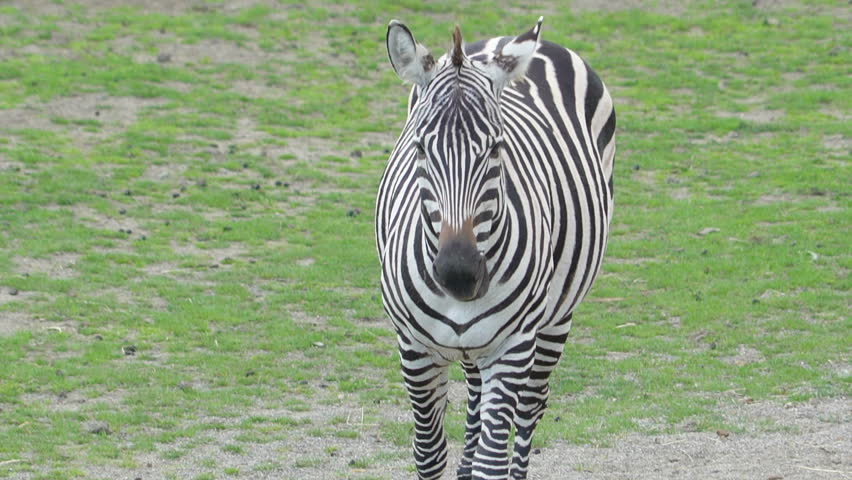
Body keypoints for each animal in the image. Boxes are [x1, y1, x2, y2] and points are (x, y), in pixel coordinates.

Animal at [375, 16, 615, 480]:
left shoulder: (513, 347)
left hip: (555, 320)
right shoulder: (413, 348)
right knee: (475, 395)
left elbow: (493, 459)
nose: (459, 274)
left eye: (496, 148)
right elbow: (428, 454)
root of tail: (505, 41)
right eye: (419, 148)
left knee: (529, 409)